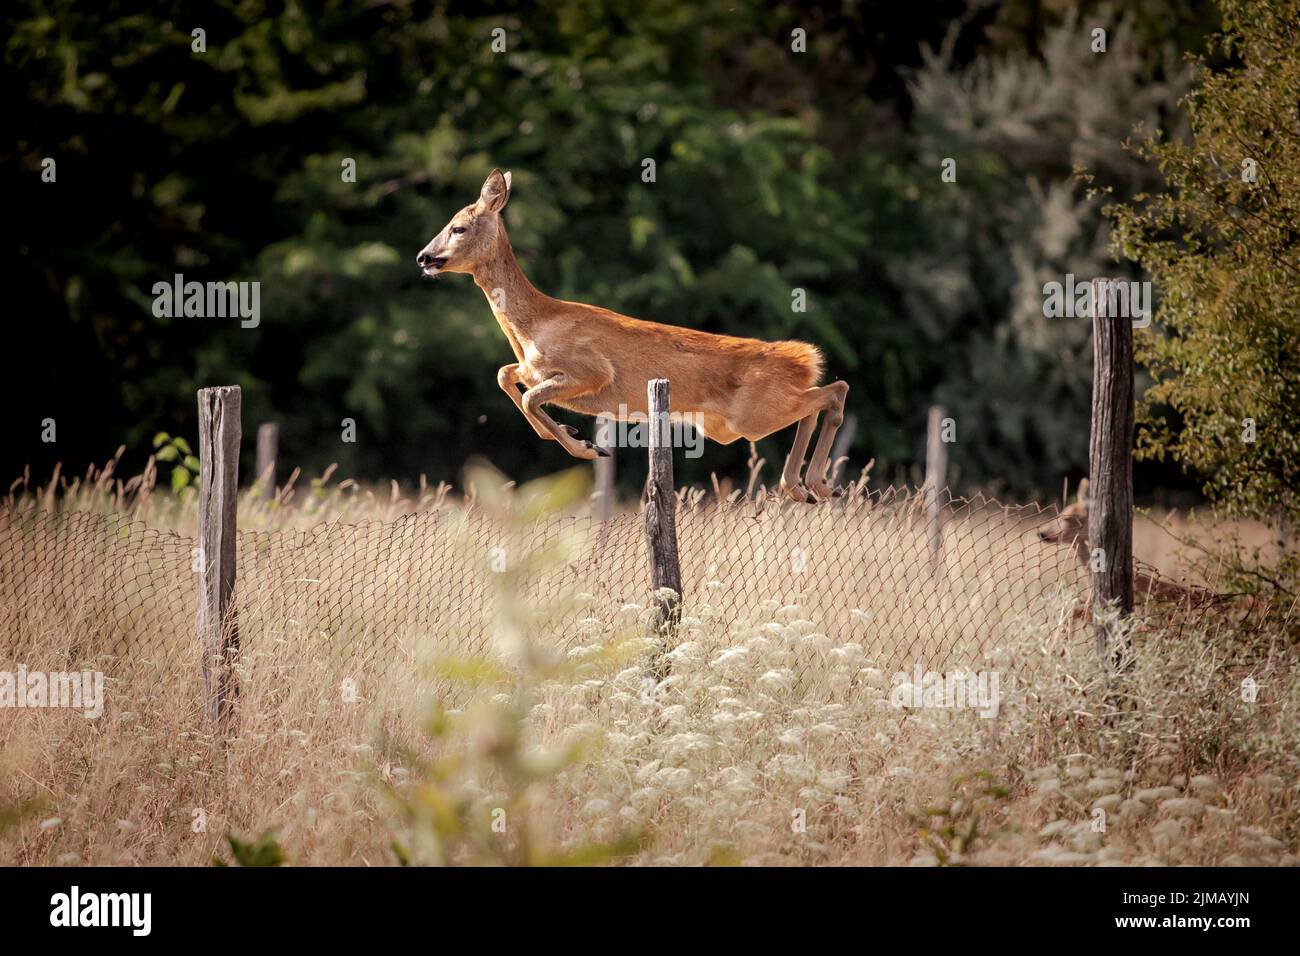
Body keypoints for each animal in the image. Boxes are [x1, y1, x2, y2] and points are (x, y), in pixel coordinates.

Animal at [416, 169, 850, 502]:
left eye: (458, 227)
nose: (424, 257)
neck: (534, 326)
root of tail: (801, 359)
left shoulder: (592, 371)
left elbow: (528, 396)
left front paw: (588, 448)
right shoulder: (531, 368)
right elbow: (508, 377)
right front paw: (569, 433)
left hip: (753, 414)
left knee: (833, 392)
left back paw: (813, 484)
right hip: (731, 424)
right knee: (818, 400)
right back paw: (805, 487)